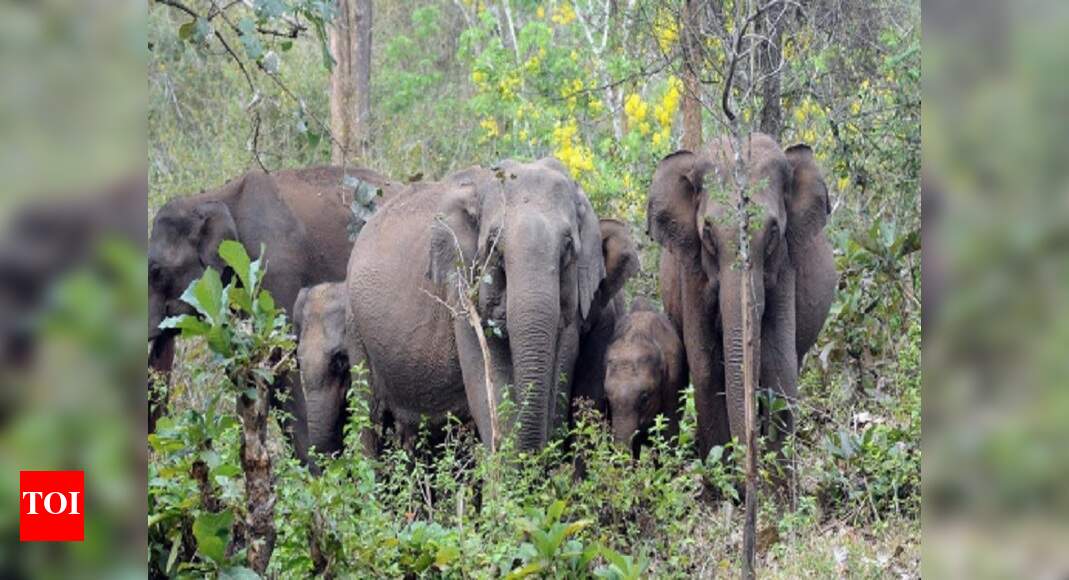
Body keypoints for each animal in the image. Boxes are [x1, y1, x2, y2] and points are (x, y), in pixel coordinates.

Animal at [346, 158, 637, 453]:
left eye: (567, 246)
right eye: (494, 248)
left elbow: (561, 374)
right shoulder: (461, 287)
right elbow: (487, 383)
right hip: (356, 328)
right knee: (366, 412)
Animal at [647, 134, 837, 463]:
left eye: (773, 231)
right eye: (708, 233)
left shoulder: (784, 265)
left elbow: (779, 364)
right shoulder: (692, 273)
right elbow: (706, 369)